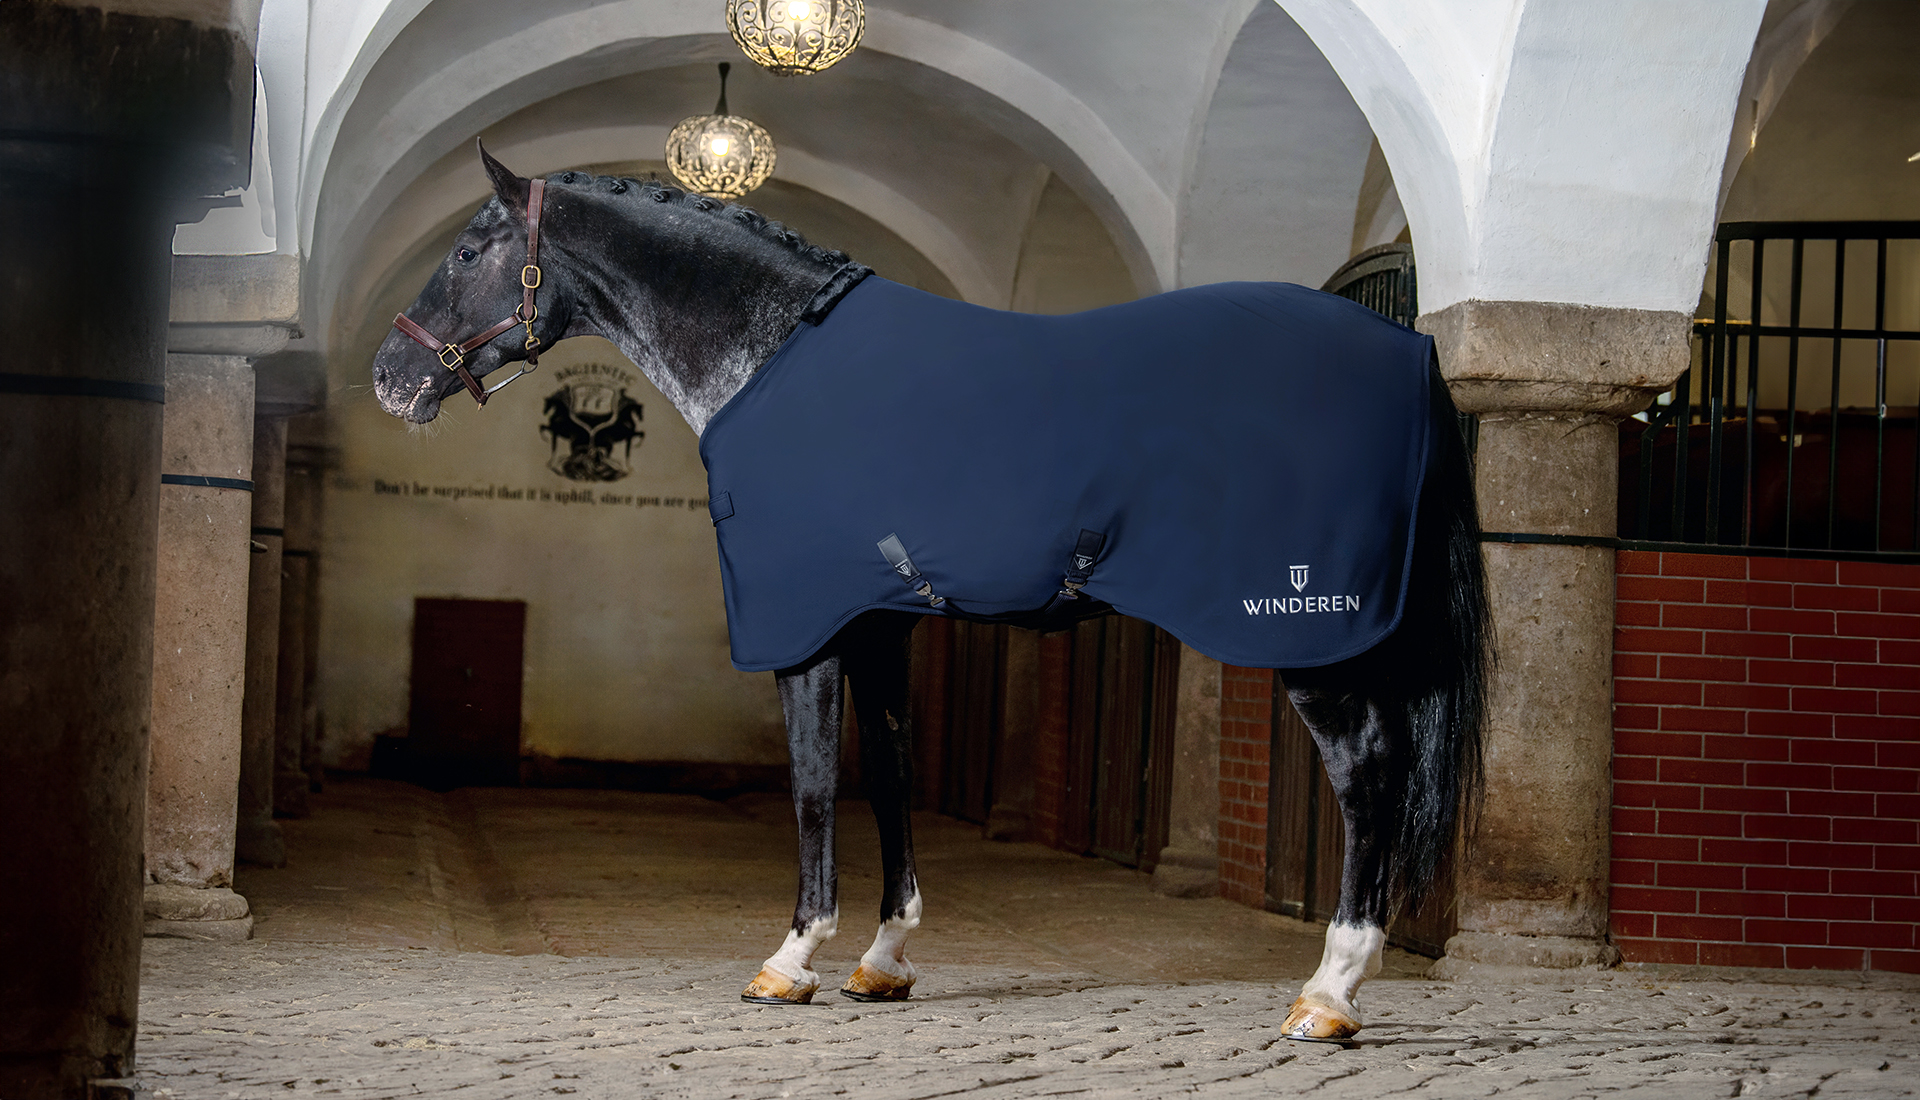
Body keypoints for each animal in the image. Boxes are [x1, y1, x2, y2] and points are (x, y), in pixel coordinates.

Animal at [372, 144, 1490, 1043]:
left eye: (468, 251)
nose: (388, 376)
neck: (770, 354)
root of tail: (1412, 346)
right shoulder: (880, 628)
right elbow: (892, 773)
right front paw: (884, 957)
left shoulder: (807, 633)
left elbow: (815, 783)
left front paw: (791, 961)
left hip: (1310, 632)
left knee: (1365, 774)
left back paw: (1330, 991)